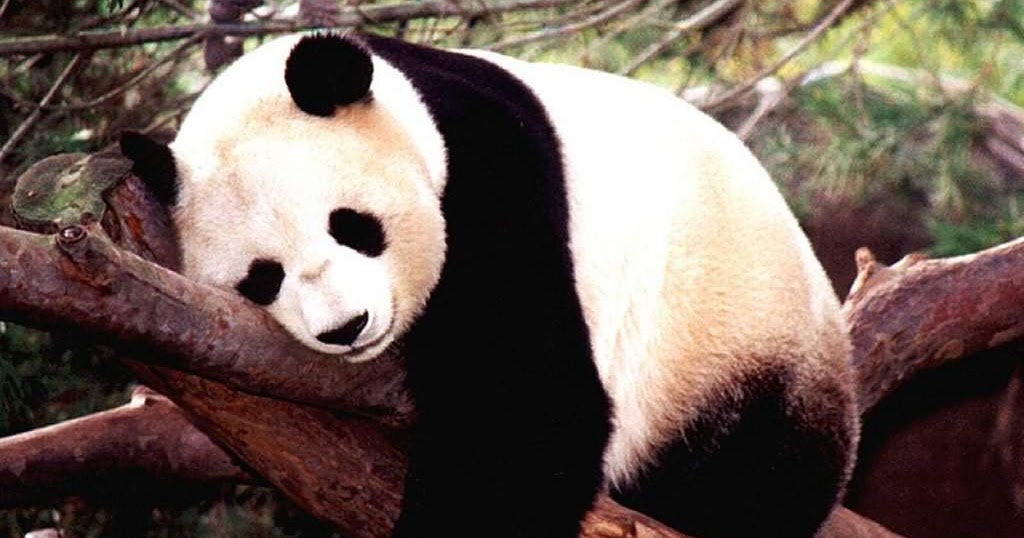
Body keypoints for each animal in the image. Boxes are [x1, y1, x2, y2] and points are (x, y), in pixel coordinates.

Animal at [121, 32, 859, 538]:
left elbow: (524, 408)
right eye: (263, 278)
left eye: (353, 226)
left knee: (753, 480)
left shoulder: (492, 174)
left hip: (732, 343)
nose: (346, 328)